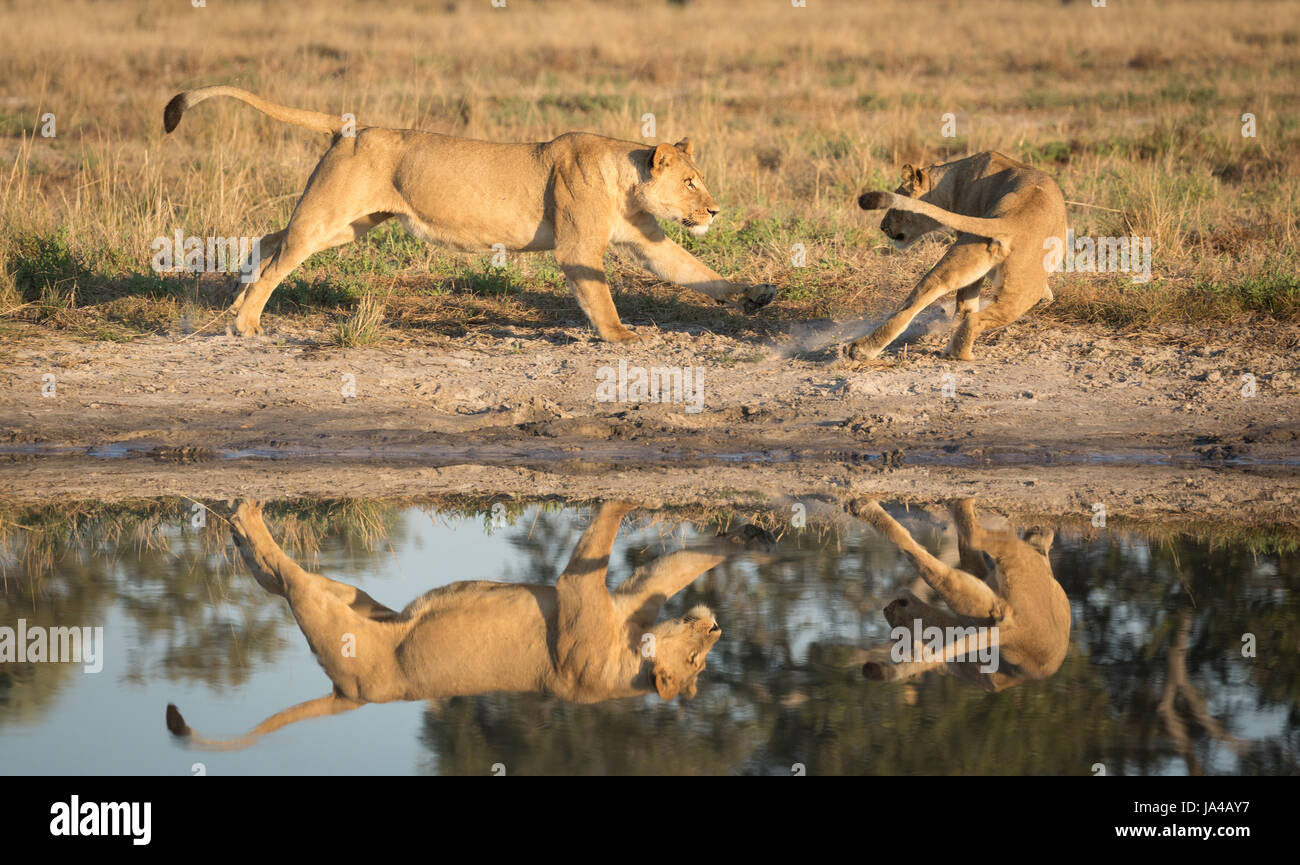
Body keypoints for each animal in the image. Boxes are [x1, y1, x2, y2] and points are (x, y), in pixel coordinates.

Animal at [162, 85, 777, 340]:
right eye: (691, 181)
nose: (715, 210)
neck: (625, 180)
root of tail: (351, 127)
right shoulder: (578, 247)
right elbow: (599, 294)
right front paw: (622, 337)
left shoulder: (647, 242)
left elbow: (698, 274)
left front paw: (756, 294)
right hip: (329, 218)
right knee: (279, 258)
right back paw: (245, 322)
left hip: (347, 227)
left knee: (271, 240)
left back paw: (237, 300)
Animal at [164, 500, 756, 750]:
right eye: (698, 660)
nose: (717, 632)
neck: (633, 656)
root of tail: (349, 696)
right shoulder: (619, 598)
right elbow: (680, 563)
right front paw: (746, 537)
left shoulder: (584, 592)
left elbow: (637, 546)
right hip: (349, 599)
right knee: (278, 577)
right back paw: (241, 520)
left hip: (334, 612)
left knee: (284, 578)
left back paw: (243, 517)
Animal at [845, 498, 1070, 692]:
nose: (1043, 527)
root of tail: (1020, 630)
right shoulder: (981, 576)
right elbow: (967, 550)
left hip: (1009, 556)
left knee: (960, 551)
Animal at [847, 151, 1066, 361]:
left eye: (898, 208)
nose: (882, 227)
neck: (952, 178)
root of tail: (1008, 218)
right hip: (1021, 293)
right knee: (974, 318)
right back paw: (959, 353)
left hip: (958, 260)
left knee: (911, 307)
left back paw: (861, 350)